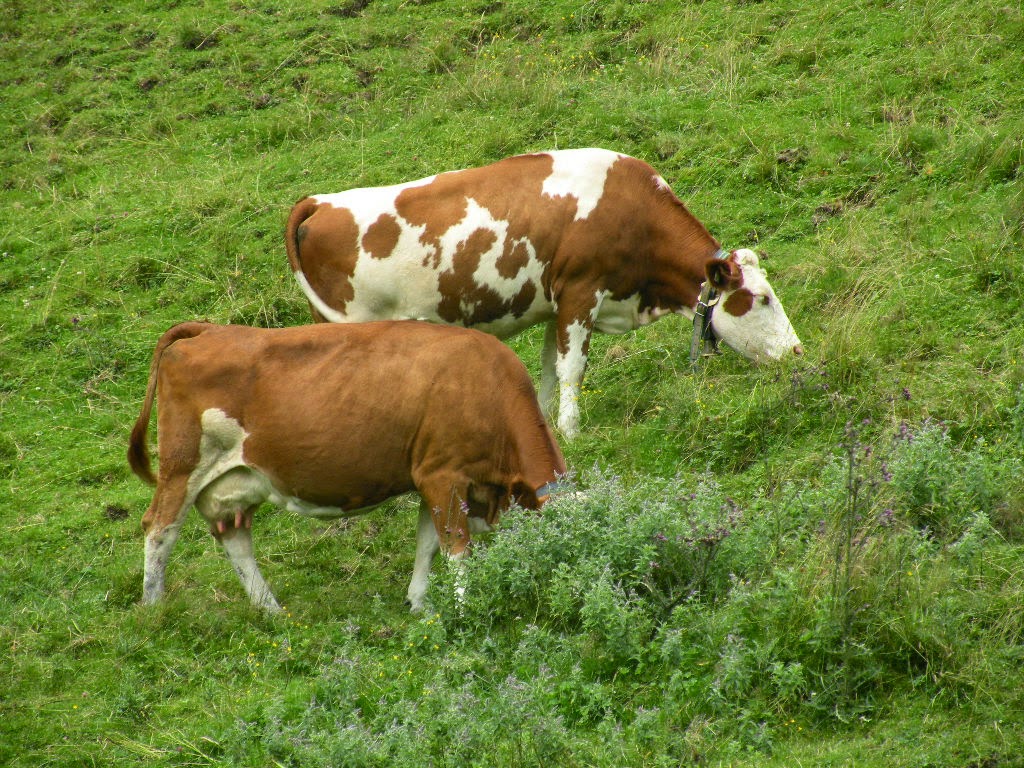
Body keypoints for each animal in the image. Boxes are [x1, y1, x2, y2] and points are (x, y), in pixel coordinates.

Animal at [128, 320, 566, 613]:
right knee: (160, 528)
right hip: (182, 466)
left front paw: (418, 604)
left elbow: (427, 543)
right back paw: (153, 608)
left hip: (236, 479)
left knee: (235, 539)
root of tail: (211, 329)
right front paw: (463, 610)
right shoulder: (443, 475)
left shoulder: (432, 479)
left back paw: (272, 610)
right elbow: (455, 548)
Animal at [285, 148, 803, 438]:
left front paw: (548, 423)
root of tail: (319, 202)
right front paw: (573, 433)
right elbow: (574, 368)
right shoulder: (581, 291)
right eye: (762, 299)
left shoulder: (555, 306)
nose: (798, 351)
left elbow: (550, 371)